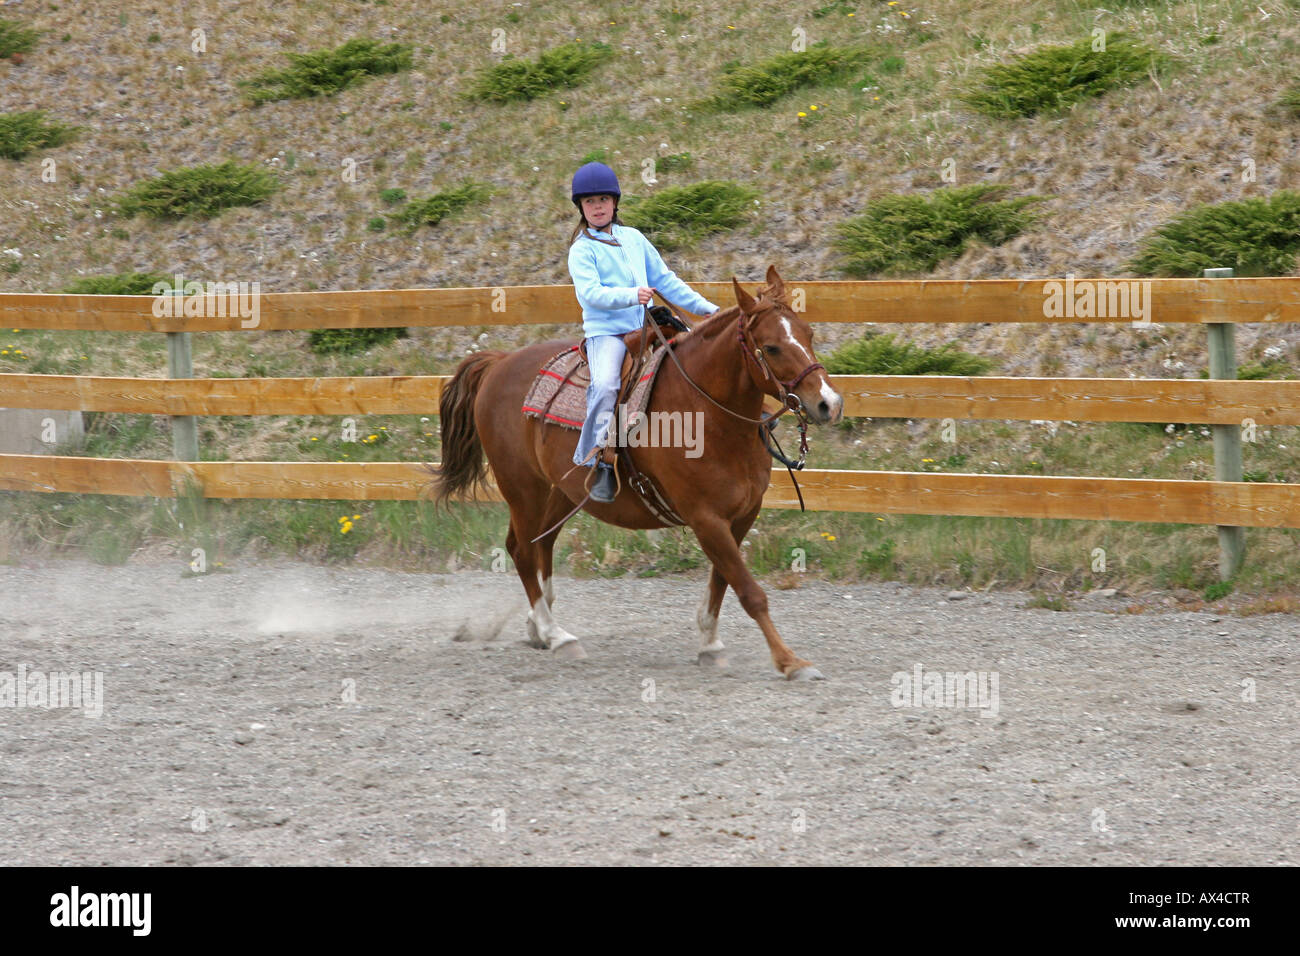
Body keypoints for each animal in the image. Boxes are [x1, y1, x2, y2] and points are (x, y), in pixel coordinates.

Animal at [428, 265, 844, 680]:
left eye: (809, 334)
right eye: (771, 347)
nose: (829, 403)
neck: (709, 417)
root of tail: (499, 362)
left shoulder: (742, 516)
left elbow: (722, 582)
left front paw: (710, 645)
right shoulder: (706, 519)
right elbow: (749, 591)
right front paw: (791, 662)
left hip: (560, 493)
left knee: (540, 546)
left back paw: (538, 628)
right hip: (523, 490)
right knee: (522, 551)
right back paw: (556, 635)